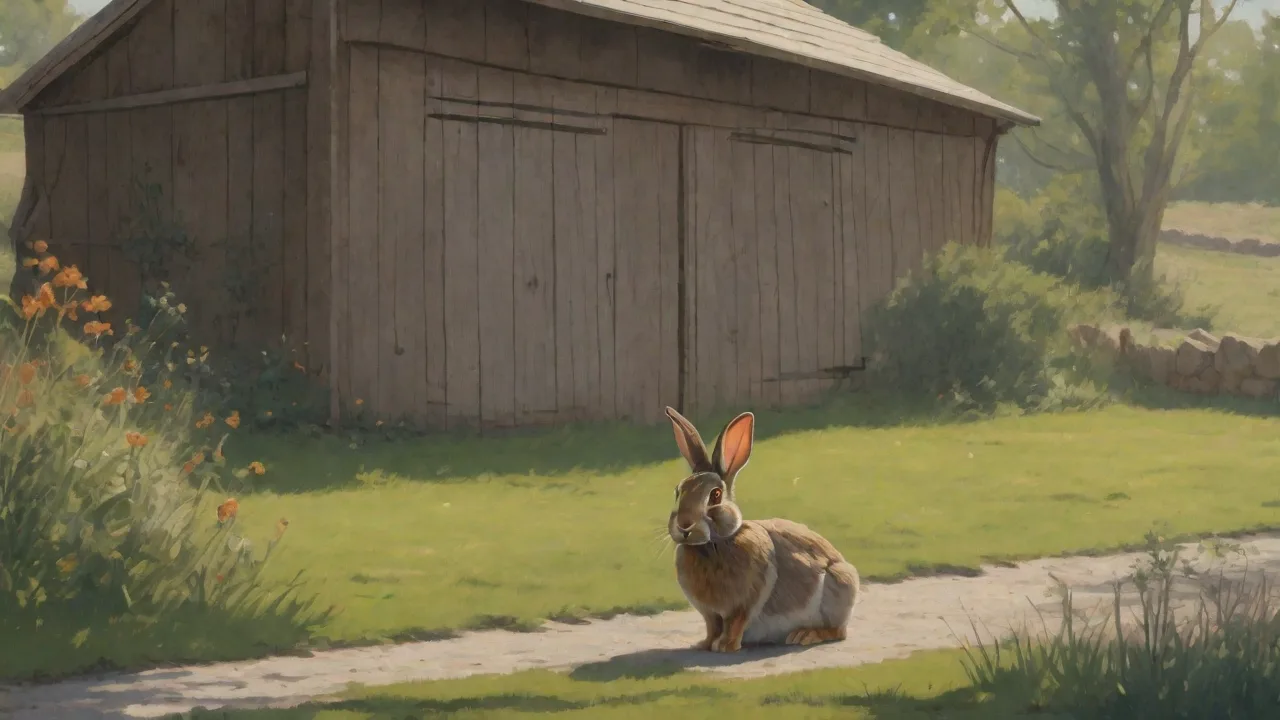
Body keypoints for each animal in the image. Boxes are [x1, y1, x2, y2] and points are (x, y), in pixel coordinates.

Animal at [664, 406, 859, 653]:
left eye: (715, 495)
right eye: (678, 491)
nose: (684, 525)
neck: (715, 543)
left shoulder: (745, 603)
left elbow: (735, 623)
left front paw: (726, 646)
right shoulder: (710, 614)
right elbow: (712, 626)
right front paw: (704, 644)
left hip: (838, 588)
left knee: (837, 631)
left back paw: (804, 635)